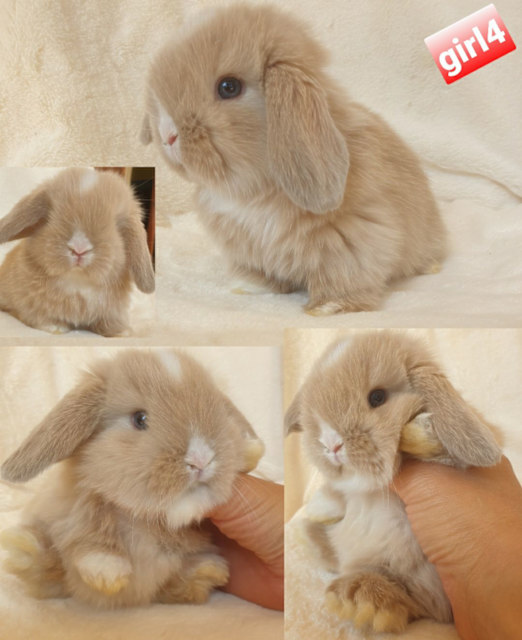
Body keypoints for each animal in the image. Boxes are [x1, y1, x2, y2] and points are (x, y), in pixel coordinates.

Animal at [0, 168, 155, 336]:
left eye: (117, 225)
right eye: (50, 217)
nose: (79, 249)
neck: (77, 281)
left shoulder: (112, 311)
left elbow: (110, 322)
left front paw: (123, 333)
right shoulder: (32, 304)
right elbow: (41, 317)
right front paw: (56, 328)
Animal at [0, 349, 265, 609]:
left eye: (219, 413)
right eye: (140, 419)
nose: (201, 459)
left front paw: (251, 451)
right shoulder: (77, 507)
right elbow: (89, 534)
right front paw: (108, 576)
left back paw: (203, 573)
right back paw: (25, 550)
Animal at [140, 3, 447, 315]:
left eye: (229, 87)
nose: (167, 134)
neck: (252, 191)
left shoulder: (352, 239)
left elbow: (343, 276)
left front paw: (329, 307)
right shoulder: (249, 249)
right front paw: (248, 287)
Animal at [285, 331, 502, 634]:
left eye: (377, 397)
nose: (331, 444)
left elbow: (445, 452)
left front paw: (418, 434)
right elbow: (337, 494)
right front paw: (317, 508)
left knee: (414, 604)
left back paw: (363, 601)